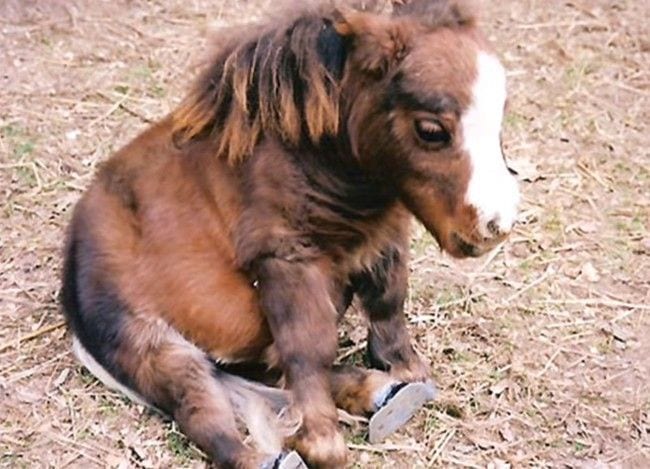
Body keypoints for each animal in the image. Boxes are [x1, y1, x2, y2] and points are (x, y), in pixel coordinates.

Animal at [60, 0, 520, 467]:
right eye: (431, 130)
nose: (495, 226)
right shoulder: (284, 259)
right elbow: (308, 344)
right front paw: (321, 443)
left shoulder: (381, 235)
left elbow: (387, 304)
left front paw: (408, 376)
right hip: (152, 346)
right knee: (202, 405)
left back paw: (381, 392)